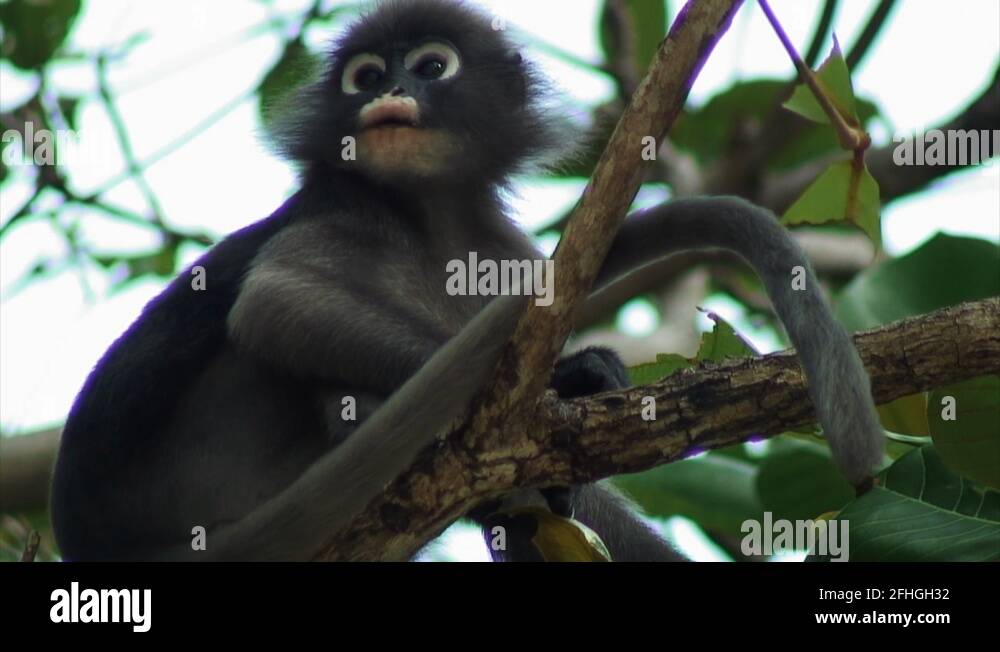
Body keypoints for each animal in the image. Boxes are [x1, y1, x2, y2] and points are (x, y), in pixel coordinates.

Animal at [50, 0, 883, 562]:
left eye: (430, 67)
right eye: (363, 76)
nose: (387, 93)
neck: (430, 219)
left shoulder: (505, 248)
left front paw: (585, 384)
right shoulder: (346, 210)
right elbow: (278, 303)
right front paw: (568, 380)